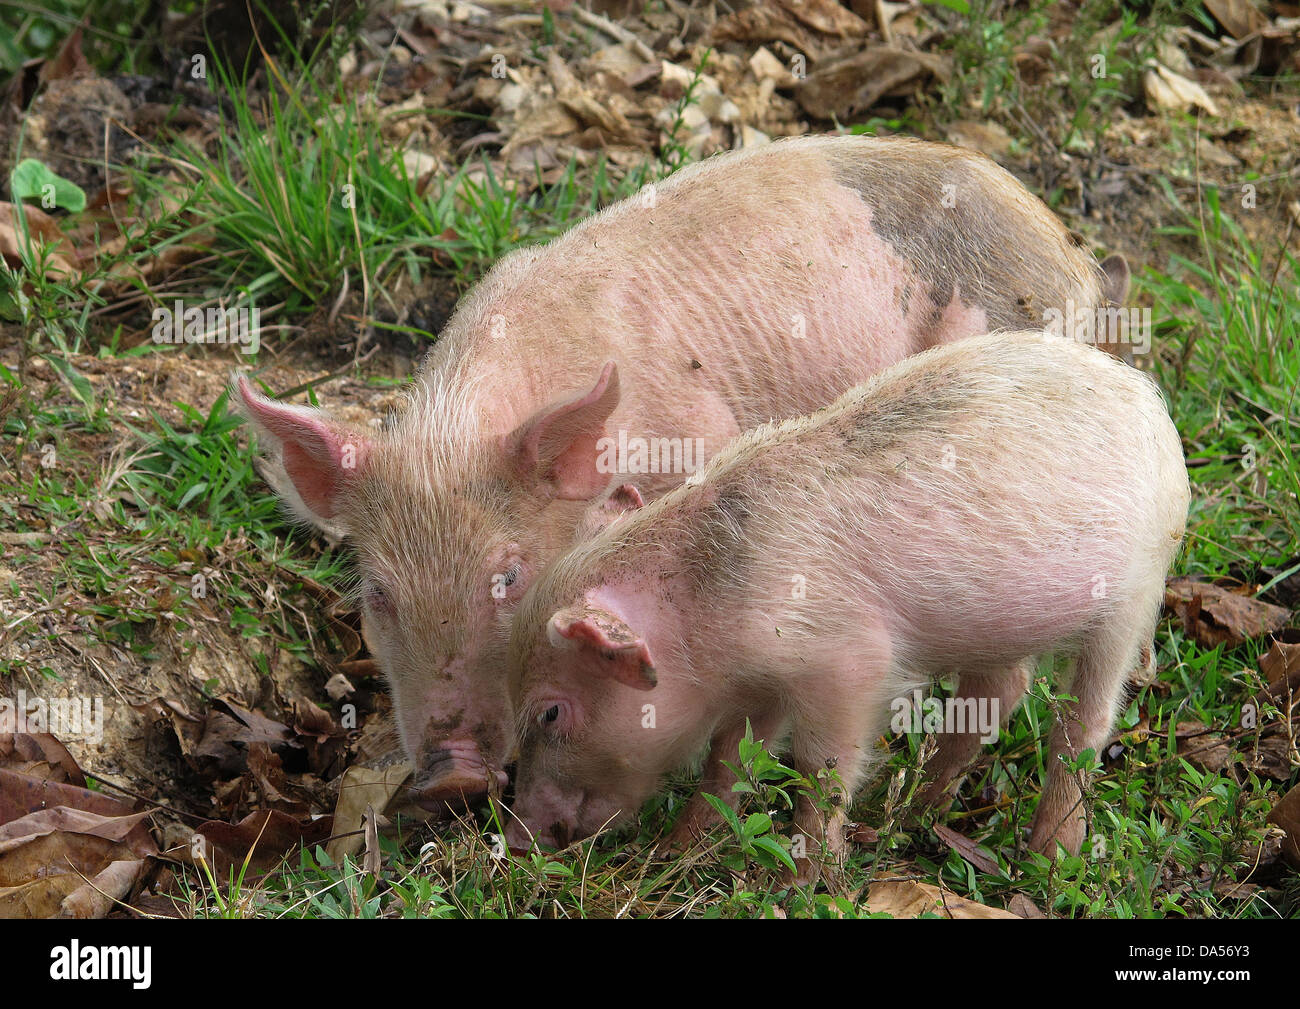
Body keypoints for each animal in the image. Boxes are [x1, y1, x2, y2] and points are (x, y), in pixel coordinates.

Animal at [503, 331, 1189, 870]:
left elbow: (822, 767)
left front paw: (801, 881)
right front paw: (676, 851)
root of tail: (1147, 399)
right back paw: (915, 816)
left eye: (550, 714)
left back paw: (1050, 859)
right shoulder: (760, 682)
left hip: (1137, 590)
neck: (704, 610)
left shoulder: (847, 660)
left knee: (1083, 725)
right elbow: (729, 758)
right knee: (1001, 692)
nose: (512, 838)